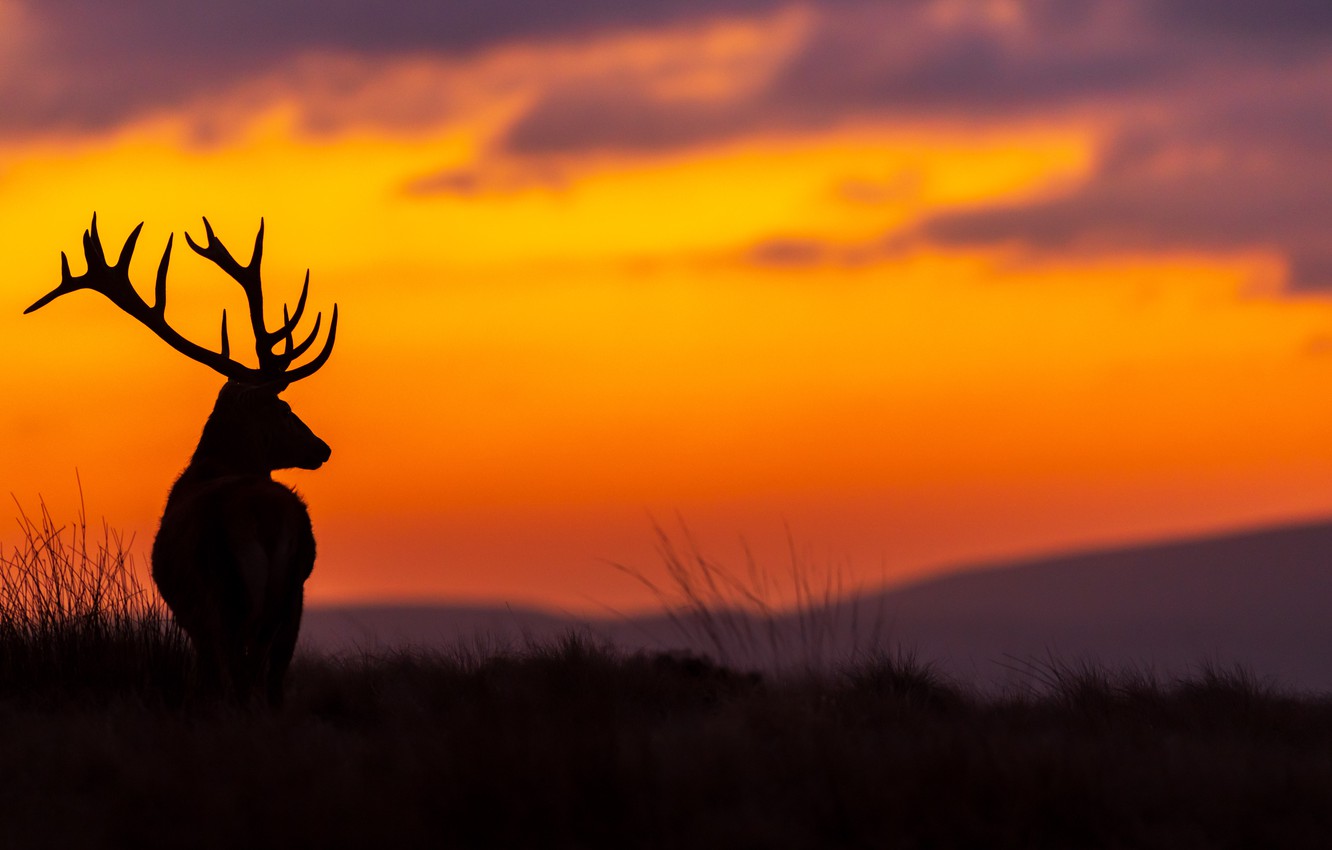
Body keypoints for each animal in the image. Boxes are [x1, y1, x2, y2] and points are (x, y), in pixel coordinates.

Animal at [25, 214, 338, 705]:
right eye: (285, 407)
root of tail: (266, 518)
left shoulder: (194, 617)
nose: (321, 447)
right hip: (283, 598)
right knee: (267, 684)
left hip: (229, 597)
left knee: (243, 680)